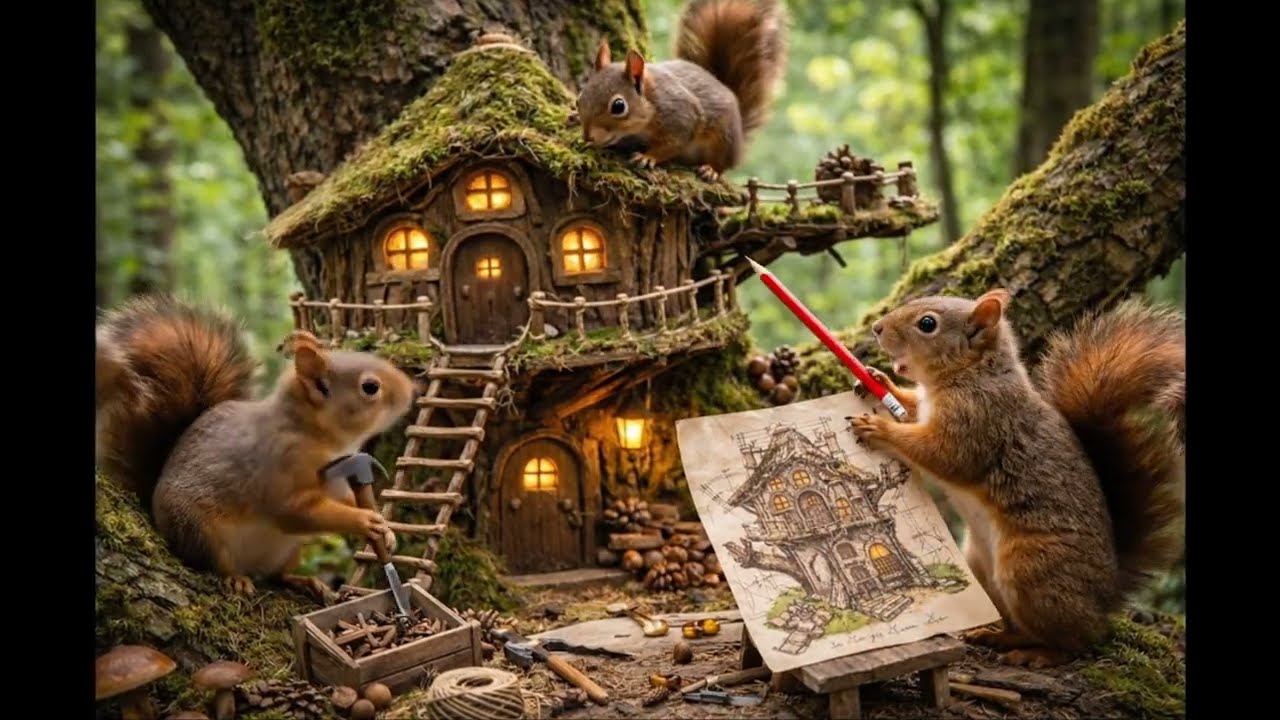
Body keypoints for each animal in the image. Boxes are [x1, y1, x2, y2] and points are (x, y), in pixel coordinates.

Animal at [95, 294, 417, 599]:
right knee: (216, 562)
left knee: (276, 575)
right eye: (370, 387)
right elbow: (296, 511)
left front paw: (387, 529)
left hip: (290, 550)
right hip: (200, 531)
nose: (411, 390)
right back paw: (235, 579)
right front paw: (365, 520)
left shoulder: (339, 480)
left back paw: (304, 581)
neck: (313, 433)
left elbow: (345, 499)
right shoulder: (281, 467)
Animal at [576, 0, 787, 183]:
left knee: (724, 163)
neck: (653, 101)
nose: (588, 136)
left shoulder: (681, 116)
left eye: (618, 106)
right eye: (579, 98)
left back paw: (711, 170)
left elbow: (673, 144)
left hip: (725, 137)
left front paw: (648, 157)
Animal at [850, 289, 1184, 669]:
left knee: (1075, 641)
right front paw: (877, 379)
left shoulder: (979, 421)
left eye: (927, 323)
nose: (877, 328)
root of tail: (1106, 596)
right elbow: (909, 402)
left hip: (1030, 570)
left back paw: (1036, 654)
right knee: (1026, 627)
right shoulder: (926, 406)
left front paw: (880, 427)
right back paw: (994, 635)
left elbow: (943, 455)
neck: (970, 373)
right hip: (980, 566)